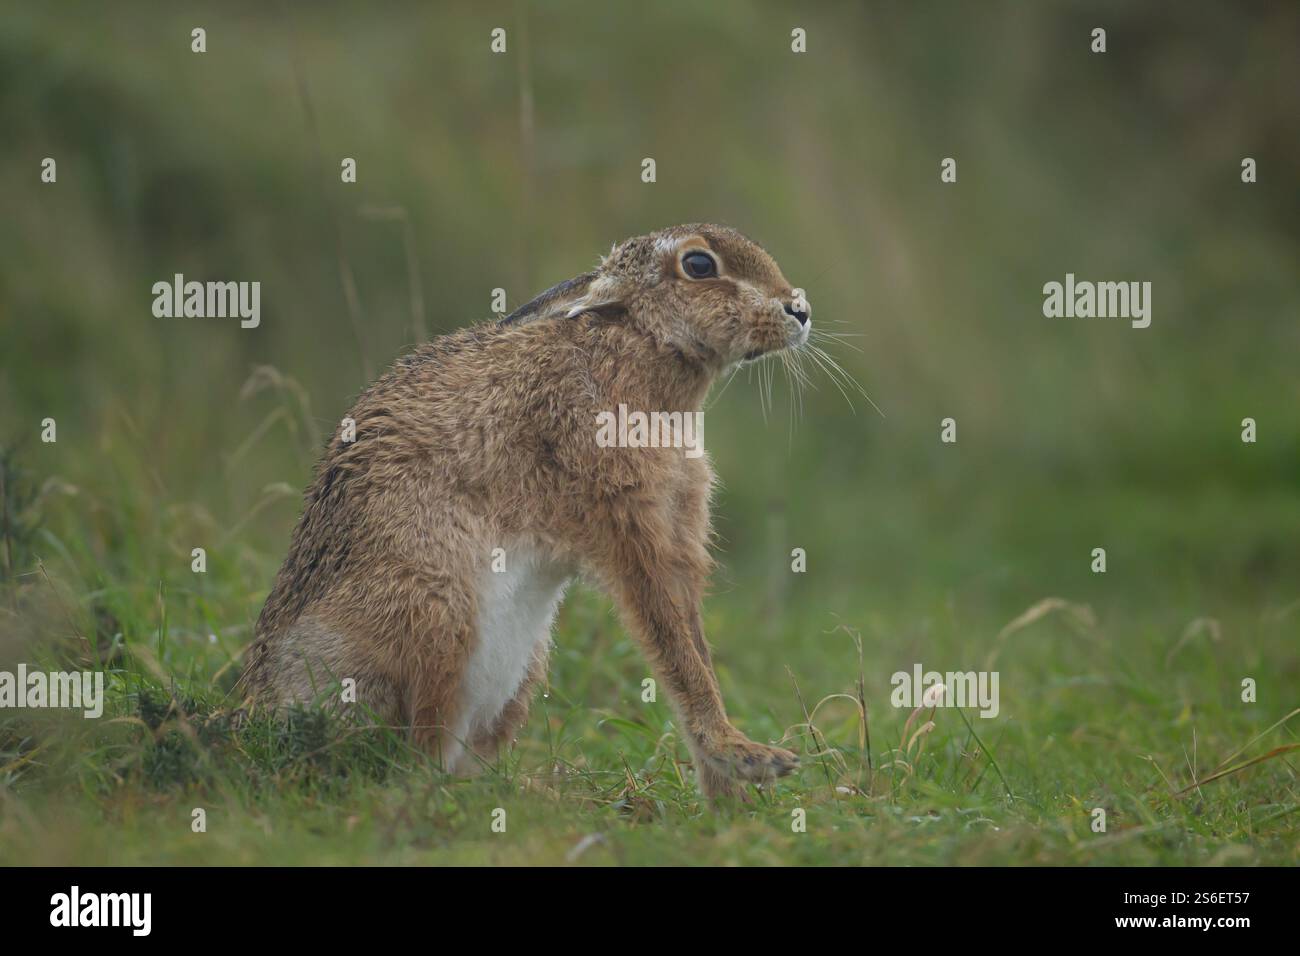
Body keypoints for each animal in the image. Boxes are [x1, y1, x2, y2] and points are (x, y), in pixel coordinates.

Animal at [240, 223, 811, 799]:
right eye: (699, 265)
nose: (800, 308)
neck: (638, 344)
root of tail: (262, 710)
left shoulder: (675, 527)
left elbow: (692, 644)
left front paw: (728, 794)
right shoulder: (628, 522)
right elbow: (672, 643)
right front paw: (750, 759)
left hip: (525, 663)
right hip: (436, 615)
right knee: (416, 757)